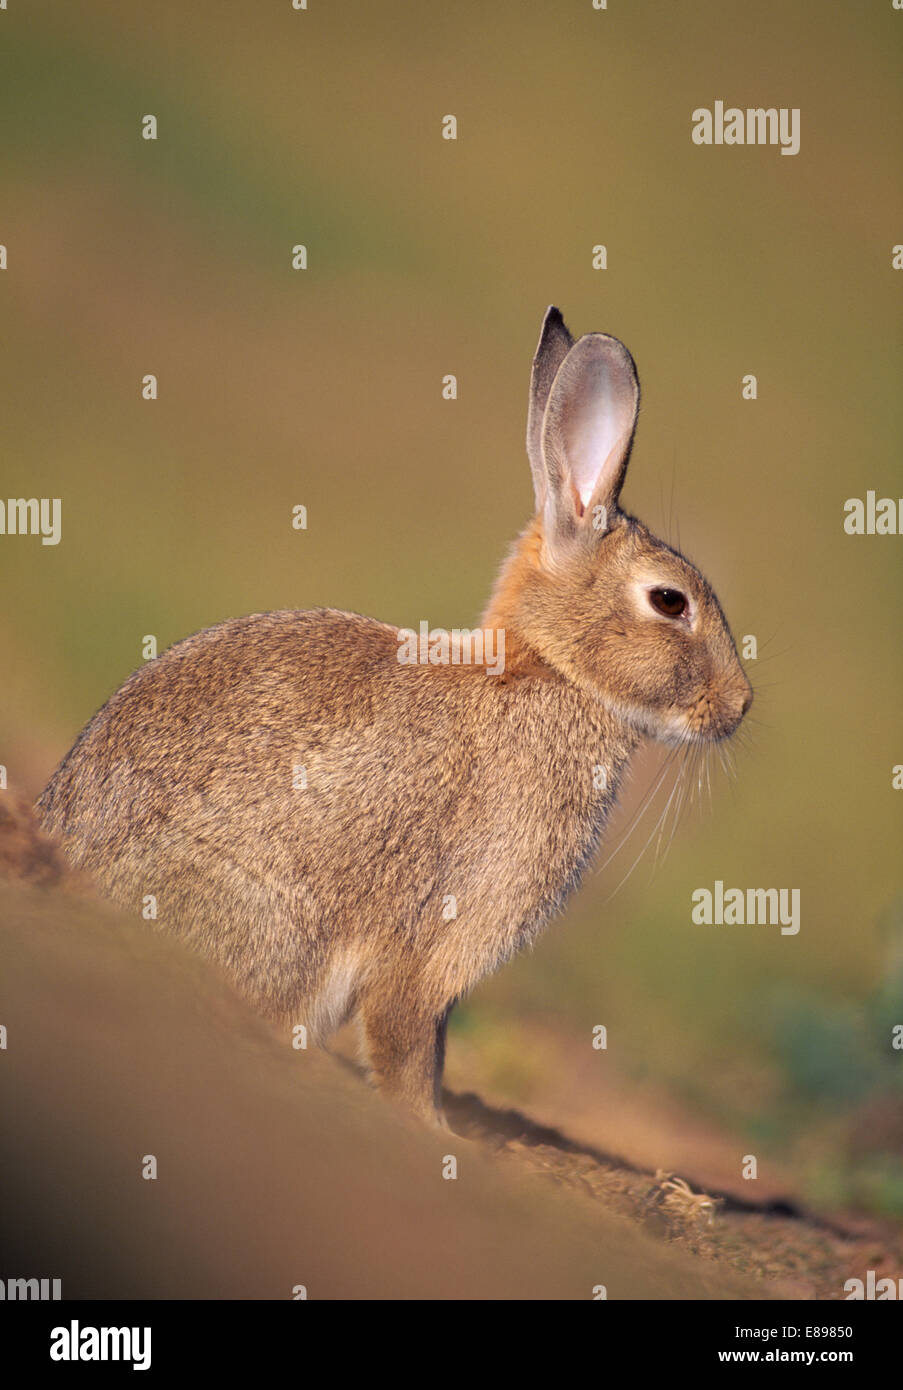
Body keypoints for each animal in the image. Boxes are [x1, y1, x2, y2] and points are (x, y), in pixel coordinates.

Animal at [37, 306, 752, 1126]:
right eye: (669, 601)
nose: (740, 706)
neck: (547, 672)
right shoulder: (439, 940)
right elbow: (408, 1042)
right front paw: (436, 1135)